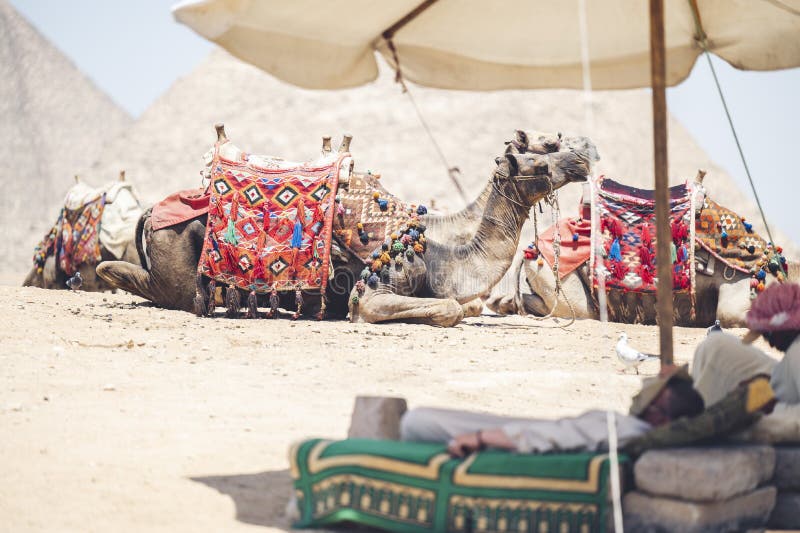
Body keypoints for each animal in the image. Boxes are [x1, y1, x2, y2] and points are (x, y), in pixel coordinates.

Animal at [97, 126, 593, 326]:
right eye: (549, 145)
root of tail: (153, 210)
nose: (588, 151)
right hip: (177, 273)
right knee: (139, 281)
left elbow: (466, 306)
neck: (446, 250)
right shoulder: (376, 288)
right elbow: (448, 309)